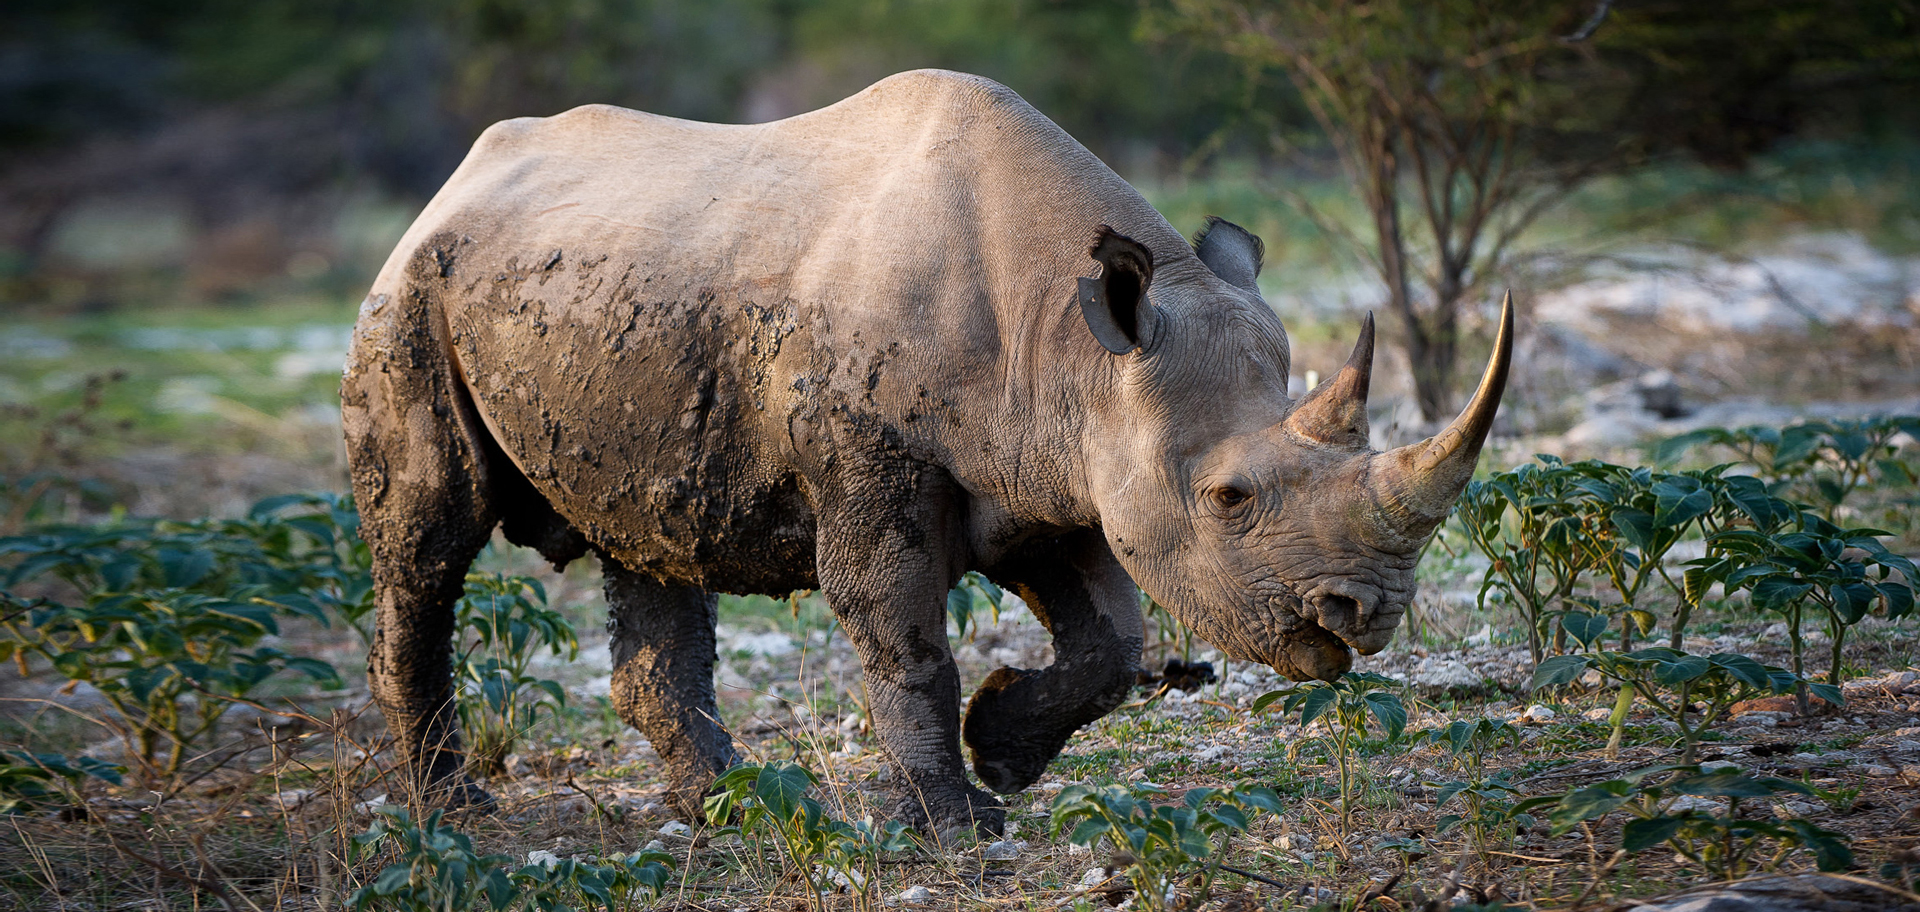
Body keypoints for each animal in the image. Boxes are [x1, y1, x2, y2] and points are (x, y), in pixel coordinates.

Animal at [341, 69, 1510, 835]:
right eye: (1228, 499)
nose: (1366, 615)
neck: (1079, 347)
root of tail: (450, 185)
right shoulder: (878, 457)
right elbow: (903, 634)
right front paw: (952, 827)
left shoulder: (1053, 469)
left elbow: (1112, 642)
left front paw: (1002, 753)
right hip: (412, 295)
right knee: (430, 544)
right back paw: (455, 808)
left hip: (604, 305)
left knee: (654, 537)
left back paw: (739, 807)